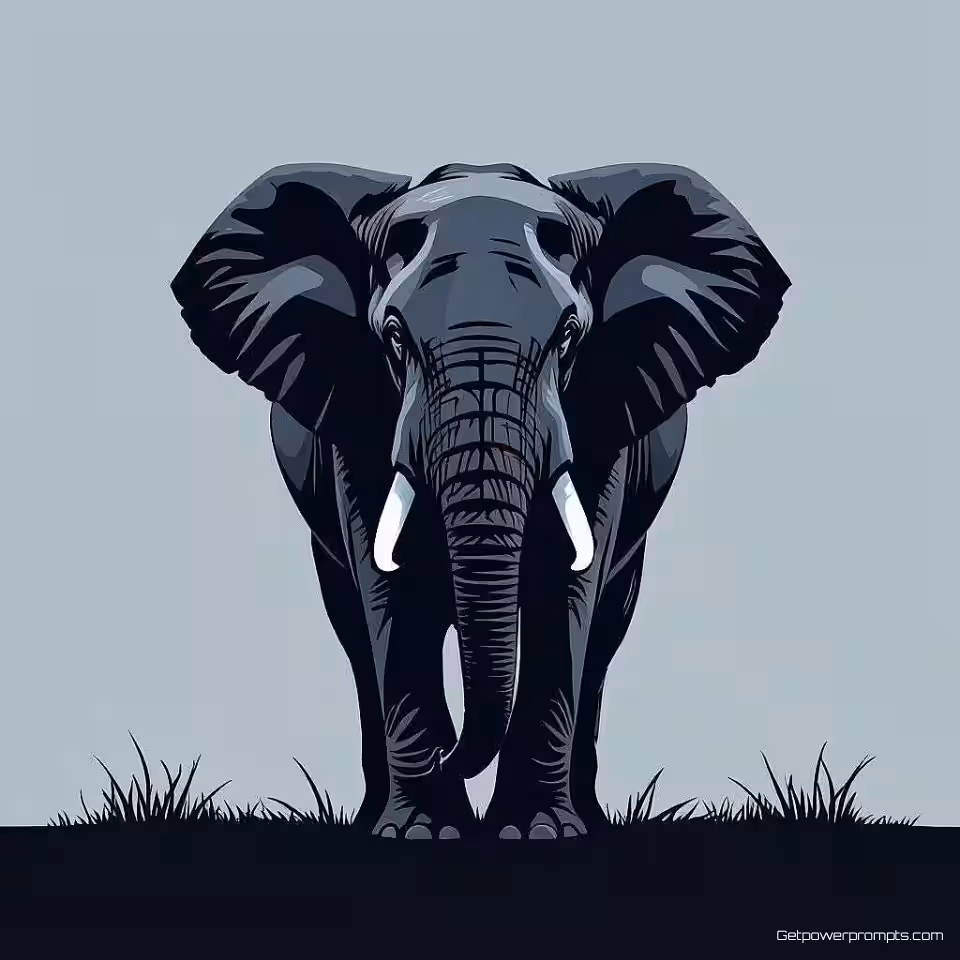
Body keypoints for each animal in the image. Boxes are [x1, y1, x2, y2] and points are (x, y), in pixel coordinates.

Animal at [170, 161, 790, 840]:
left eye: (569, 338)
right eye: (393, 339)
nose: (449, 756)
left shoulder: (602, 419)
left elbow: (564, 594)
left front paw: (539, 834)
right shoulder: (356, 418)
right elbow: (393, 596)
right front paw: (420, 834)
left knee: (604, 631)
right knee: (354, 629)